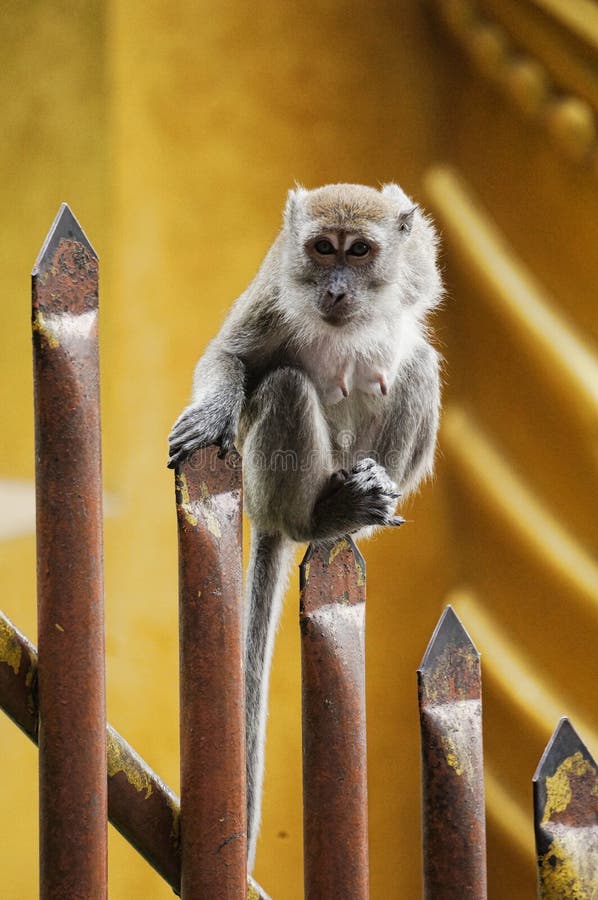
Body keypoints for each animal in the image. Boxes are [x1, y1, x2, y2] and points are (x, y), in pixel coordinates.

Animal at [168, 182, 442, 873]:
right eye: (322, 249)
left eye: (358, 251)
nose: (336, 289)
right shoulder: (275, 290)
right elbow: (233, 356)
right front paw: (213, 411)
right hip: (281, 484)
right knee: (288, 385)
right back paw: (319, 517)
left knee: (419, 363)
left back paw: (364, 501)